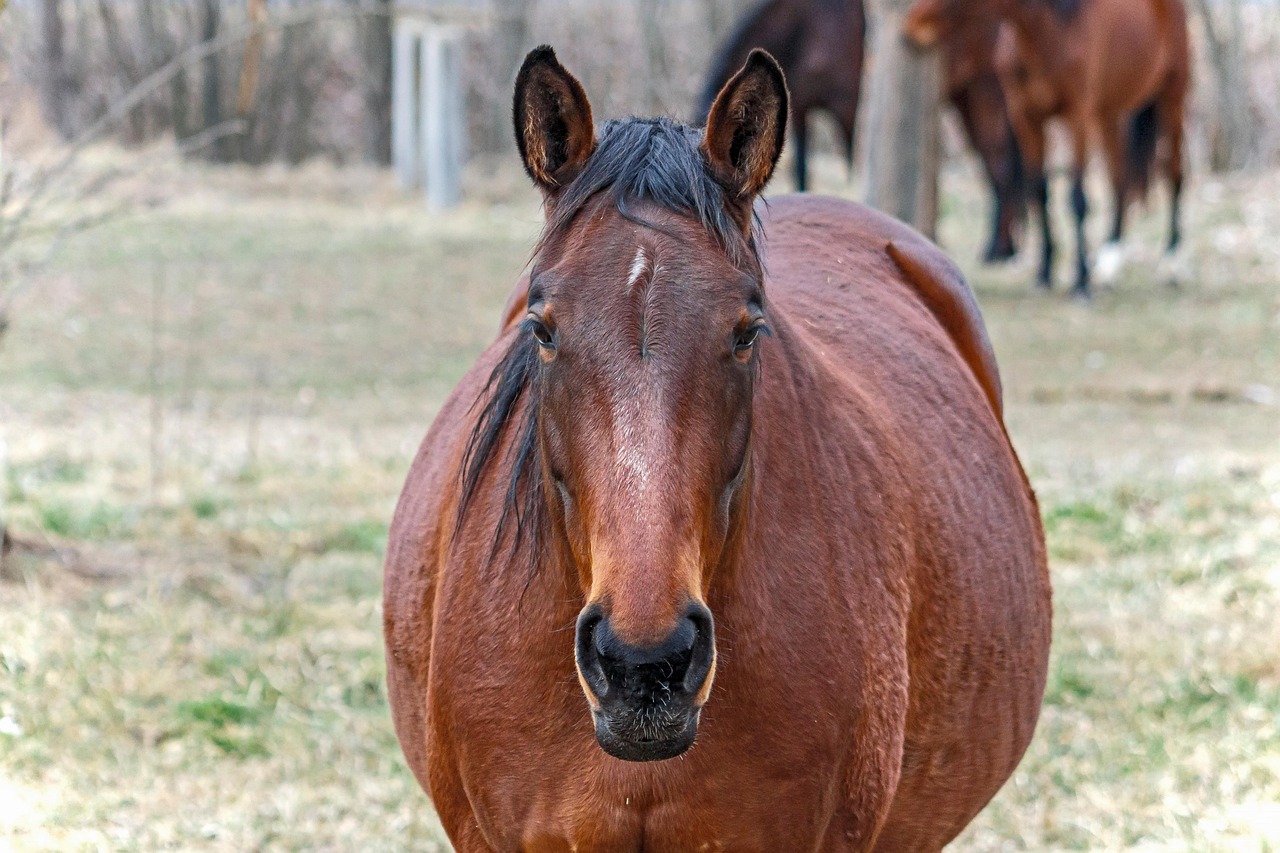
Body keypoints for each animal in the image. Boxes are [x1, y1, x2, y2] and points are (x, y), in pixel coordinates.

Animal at [905, 0, 1190, 296]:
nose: (913, 24)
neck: (1046, 30)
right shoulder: (1026, 117)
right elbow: (1038, 189)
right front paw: (1044, 274)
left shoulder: (1077, 117)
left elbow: (1077, 197)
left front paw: (1081, 282)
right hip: (1108, 114)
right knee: (1119, 181)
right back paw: (1109, 264)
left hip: (1173, 95)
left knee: (1174, 175)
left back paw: (1171, 264)